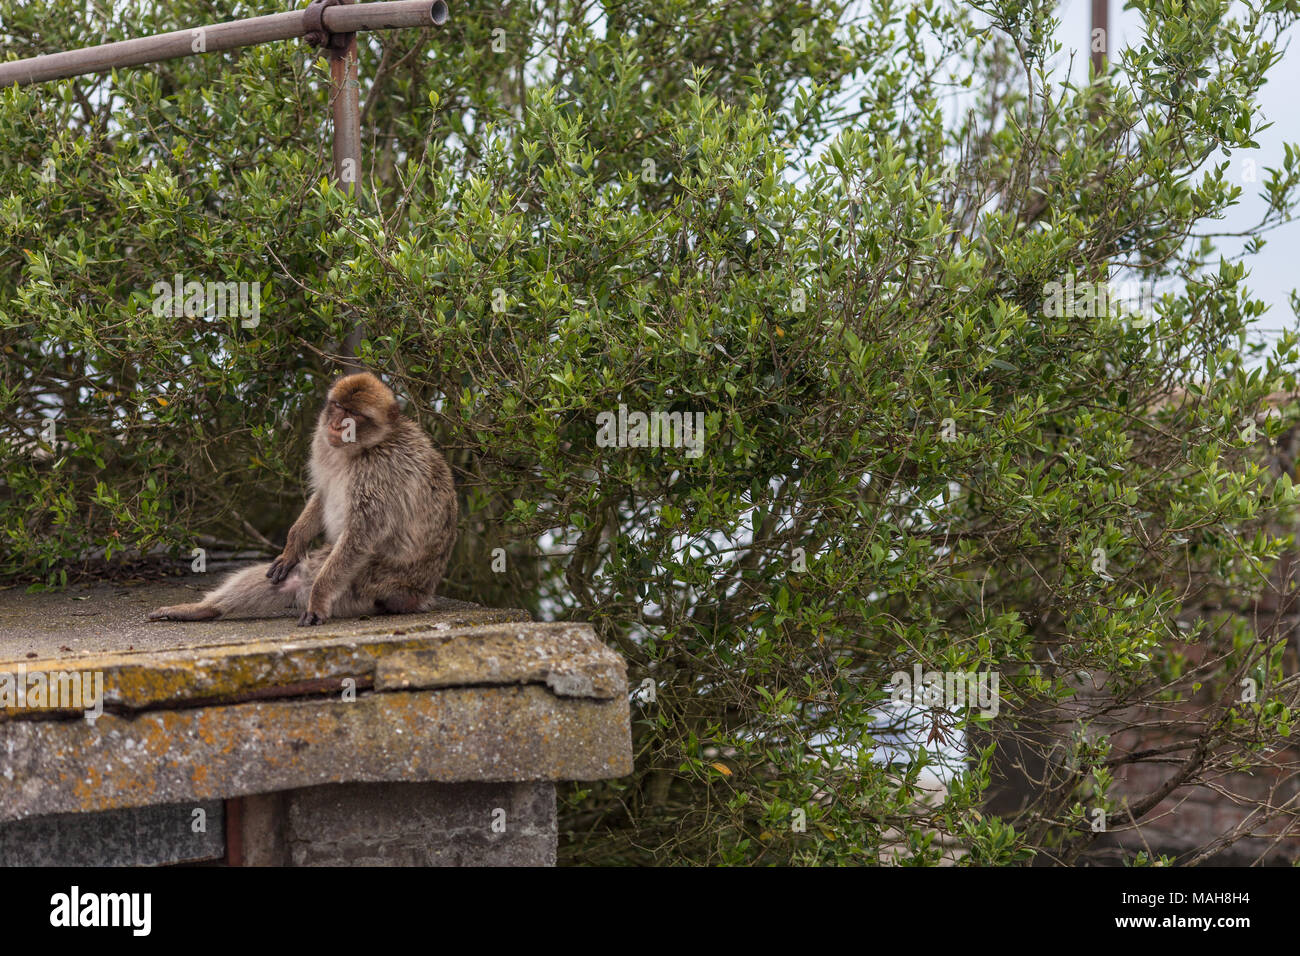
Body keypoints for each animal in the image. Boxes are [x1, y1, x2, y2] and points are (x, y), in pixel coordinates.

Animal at [148, 372, 457, 626]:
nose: (337, 425)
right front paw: (293, 545)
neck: (364, 448)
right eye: (338, 407)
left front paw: (318, 598)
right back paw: (202, 609)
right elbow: (322, 494)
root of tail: (418, 596)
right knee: (290, 577)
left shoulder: (380, 470)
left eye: (354, 414)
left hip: (377, 583)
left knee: (317, 573)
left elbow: (361, 535)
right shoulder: (323, 443)